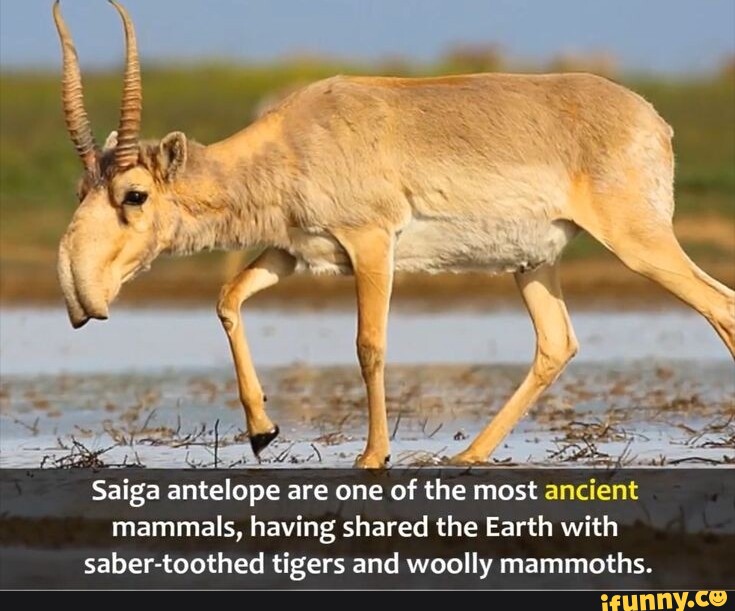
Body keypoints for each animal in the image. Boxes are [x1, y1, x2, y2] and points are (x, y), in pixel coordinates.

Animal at [54, 1, 735, 467]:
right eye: (81, 189)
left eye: (134, 194)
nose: (79, 296)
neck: (295, 138)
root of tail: (654, 120)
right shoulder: (293, 252)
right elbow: (227, 298)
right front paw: (262, 432)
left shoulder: (371, 244)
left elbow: (369, 345)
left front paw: (371, 455)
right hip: (533, 263)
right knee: (556, 342)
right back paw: (467, 456)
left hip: (640, 243)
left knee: (718, 305)